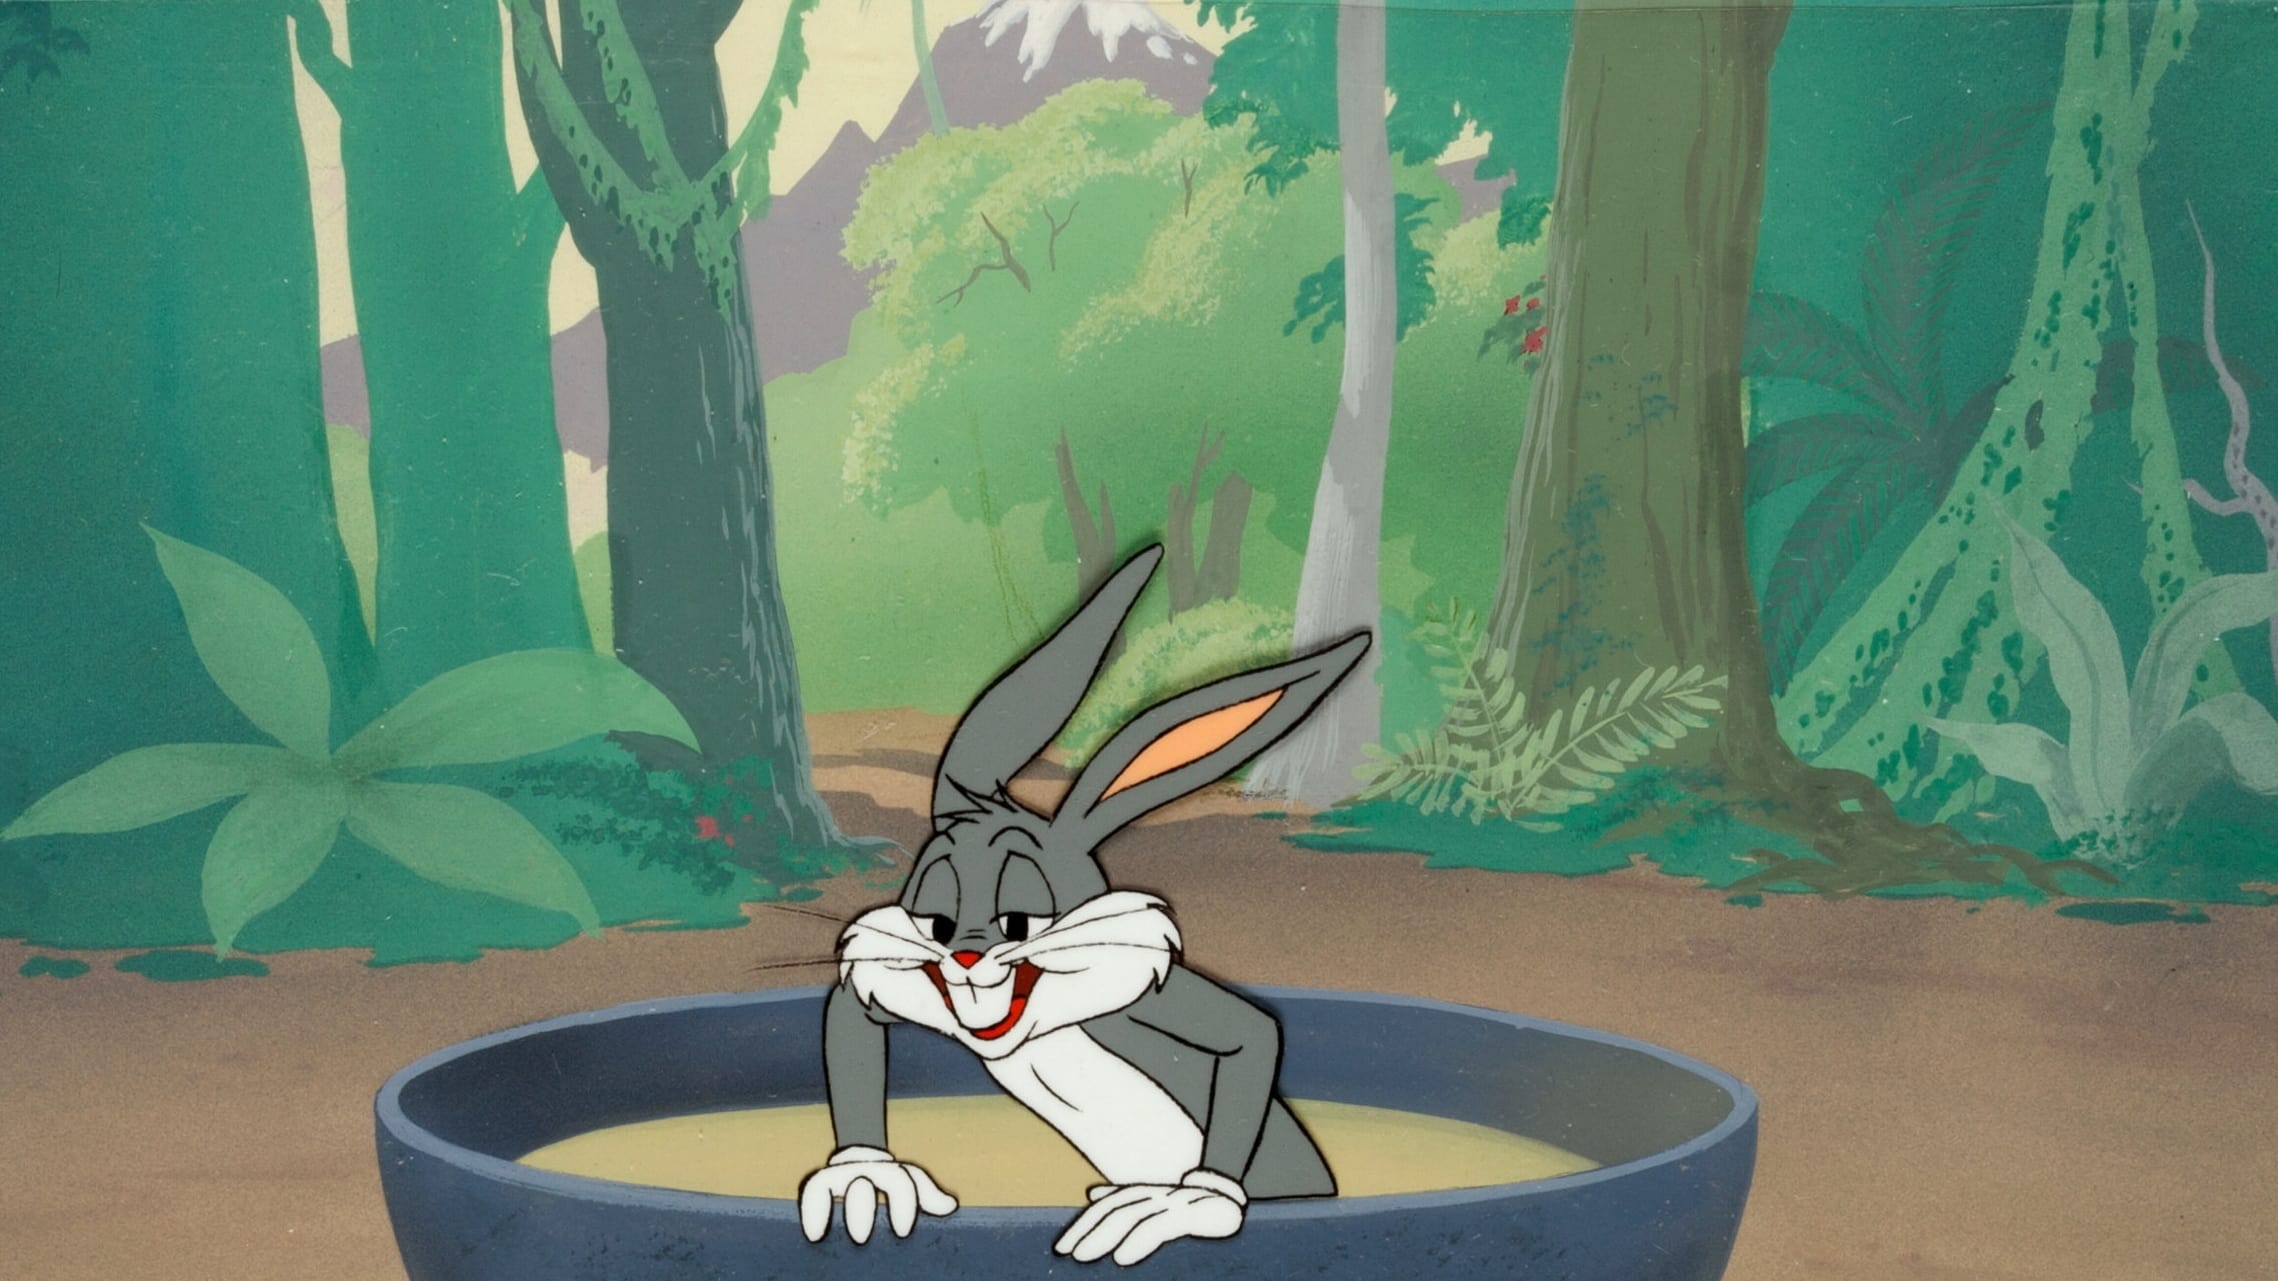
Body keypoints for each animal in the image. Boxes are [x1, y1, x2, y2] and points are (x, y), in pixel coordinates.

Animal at [796, 543, 1369, 1266]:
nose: (966, 956)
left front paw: (1187, 1204)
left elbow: (1253, 1033)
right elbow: (851, 1010)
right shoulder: (900, 983)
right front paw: (867, 1175)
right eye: (938, 922)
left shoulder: (1136, 992)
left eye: (1019, 920)